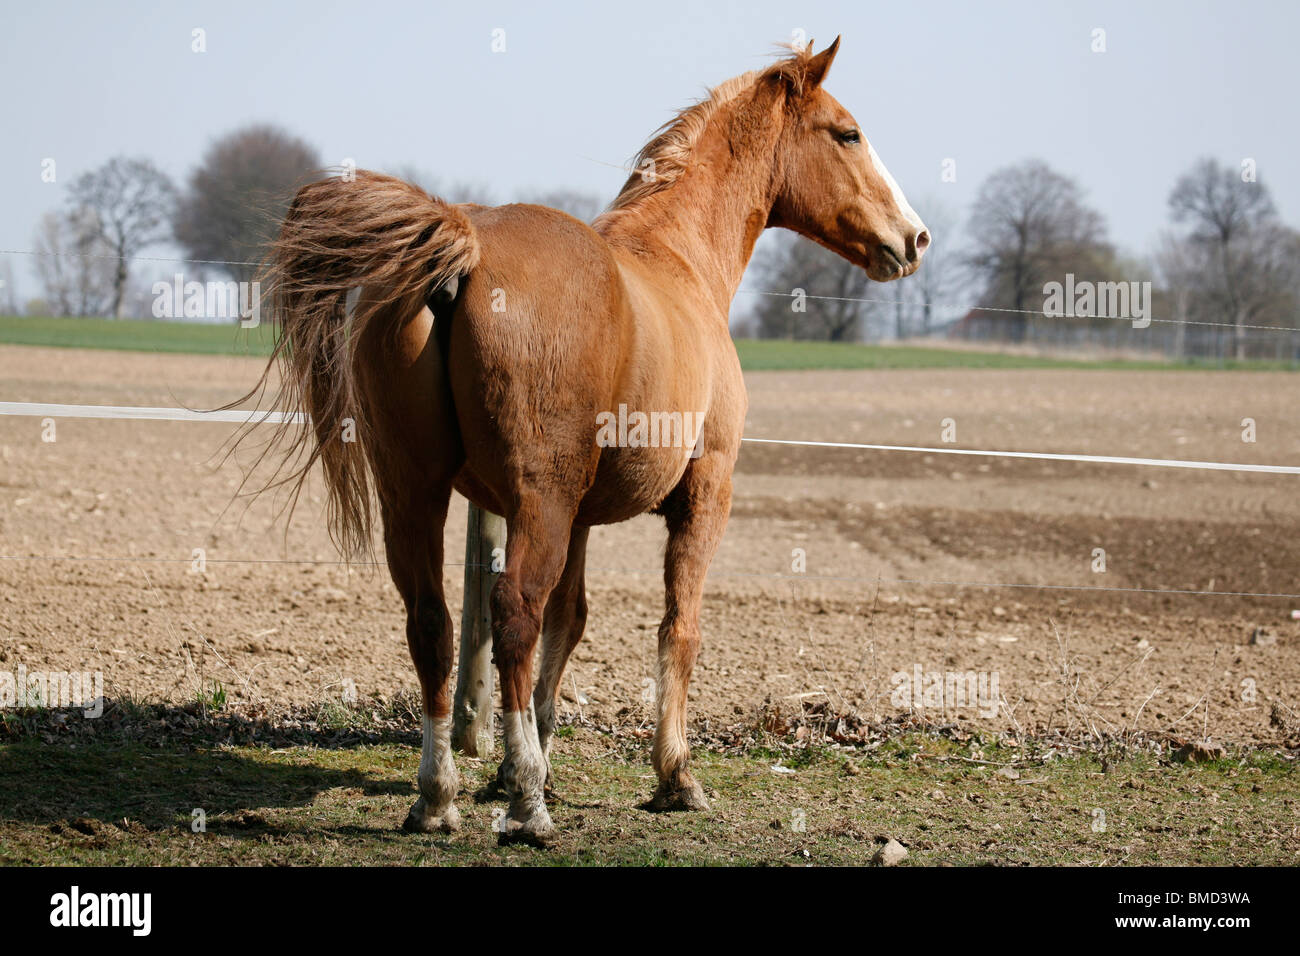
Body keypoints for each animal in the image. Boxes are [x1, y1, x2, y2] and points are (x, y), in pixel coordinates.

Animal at [245, 36, 927, 842]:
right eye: (847, 133)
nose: (914, 237)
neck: (678, 260)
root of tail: (465, 244)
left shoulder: (580, 518)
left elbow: (569, 624)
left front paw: (525, 759)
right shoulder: (704, 492)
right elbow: (676, 629)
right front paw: (671, 775)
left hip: (417, 492)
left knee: (432, 622)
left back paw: (439, 796)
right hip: (533, 502)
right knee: (513, 614)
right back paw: (528, 810)